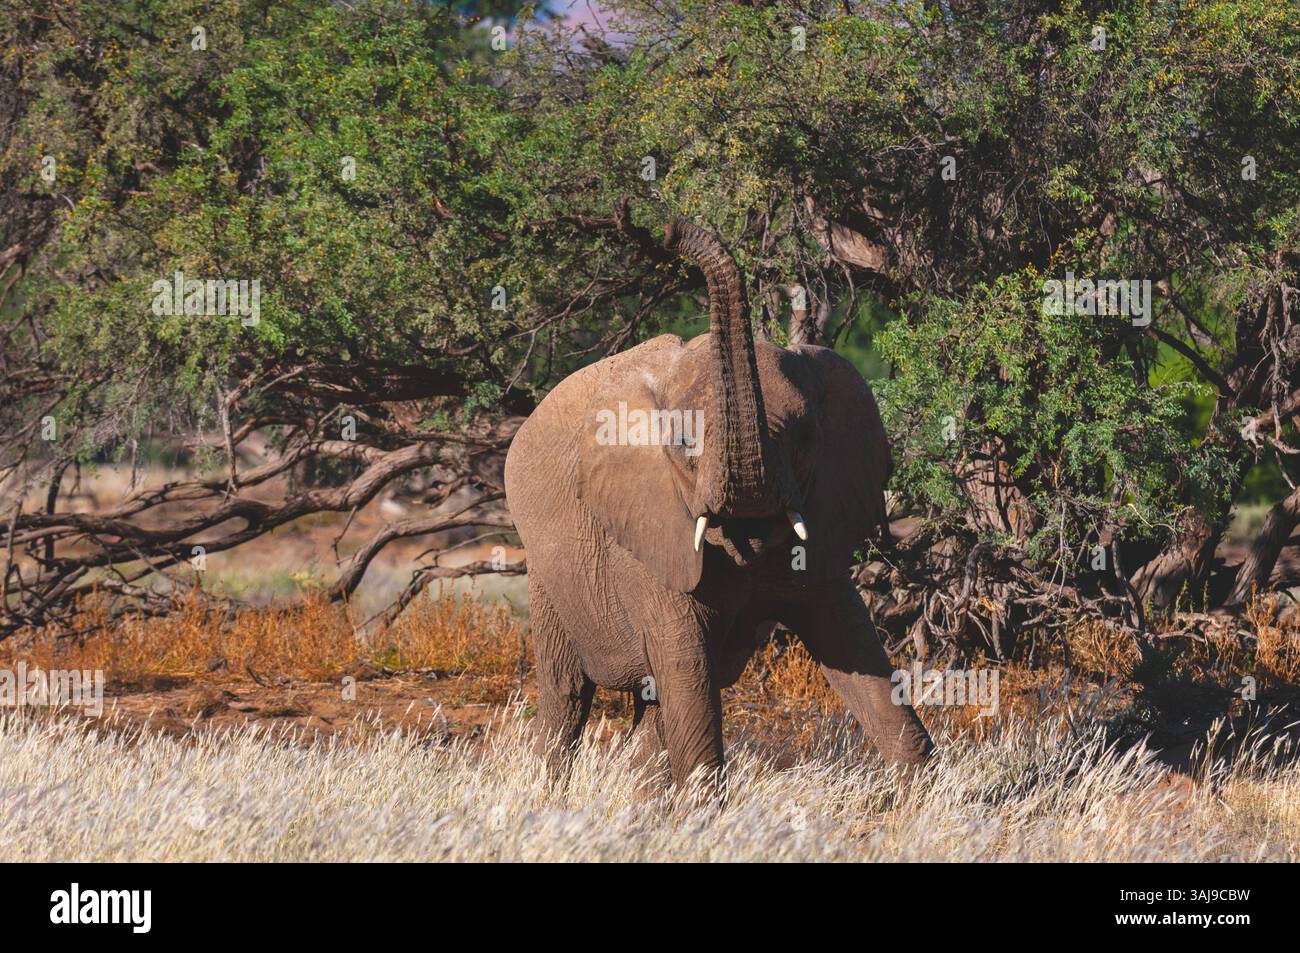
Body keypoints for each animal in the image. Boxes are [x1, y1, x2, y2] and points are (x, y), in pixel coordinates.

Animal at [503, 216, 933, 789]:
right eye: (685, 443)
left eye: (804, 439)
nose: (665, 228)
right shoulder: (647, 537)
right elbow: (687, 668)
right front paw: (704, 805)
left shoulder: (822, 519)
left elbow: (853, 644)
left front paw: (927, 791)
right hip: (548, 576)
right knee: (568, 693)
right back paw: (551, 787)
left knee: (652, 705)